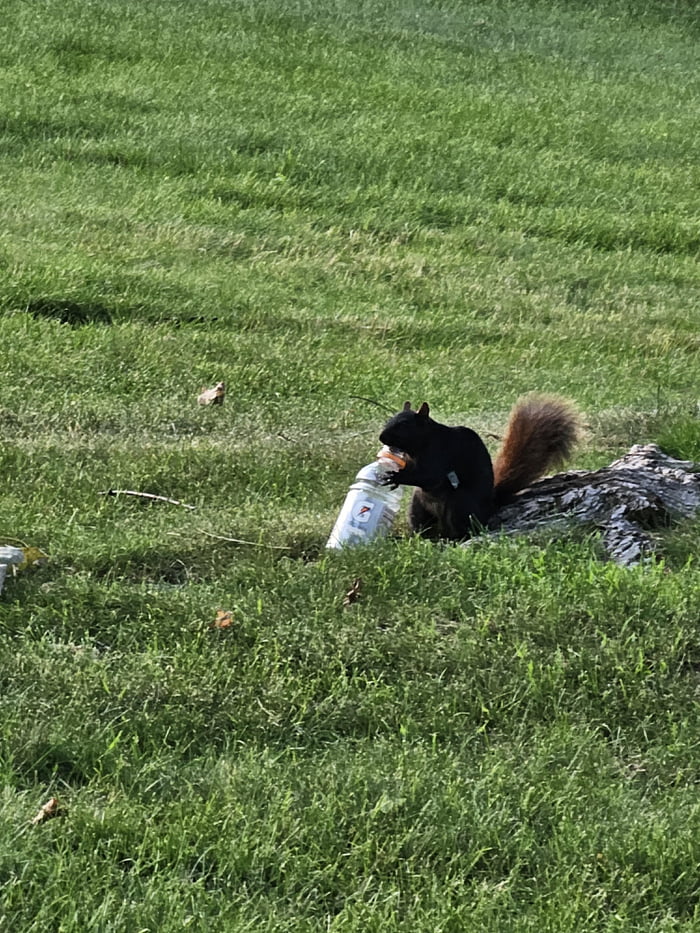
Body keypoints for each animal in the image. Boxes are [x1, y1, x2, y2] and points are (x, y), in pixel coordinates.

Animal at [378, 394, 580, 540]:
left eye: (404, 425)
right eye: (390, 419)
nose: (382, 437)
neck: (421, 444)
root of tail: (490, 506)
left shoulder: (441, 453)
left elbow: (429, 476)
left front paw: (396, 476)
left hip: (459, 504)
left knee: (461, 531)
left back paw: (453, 540)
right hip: (418, 506)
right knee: (423, 527)